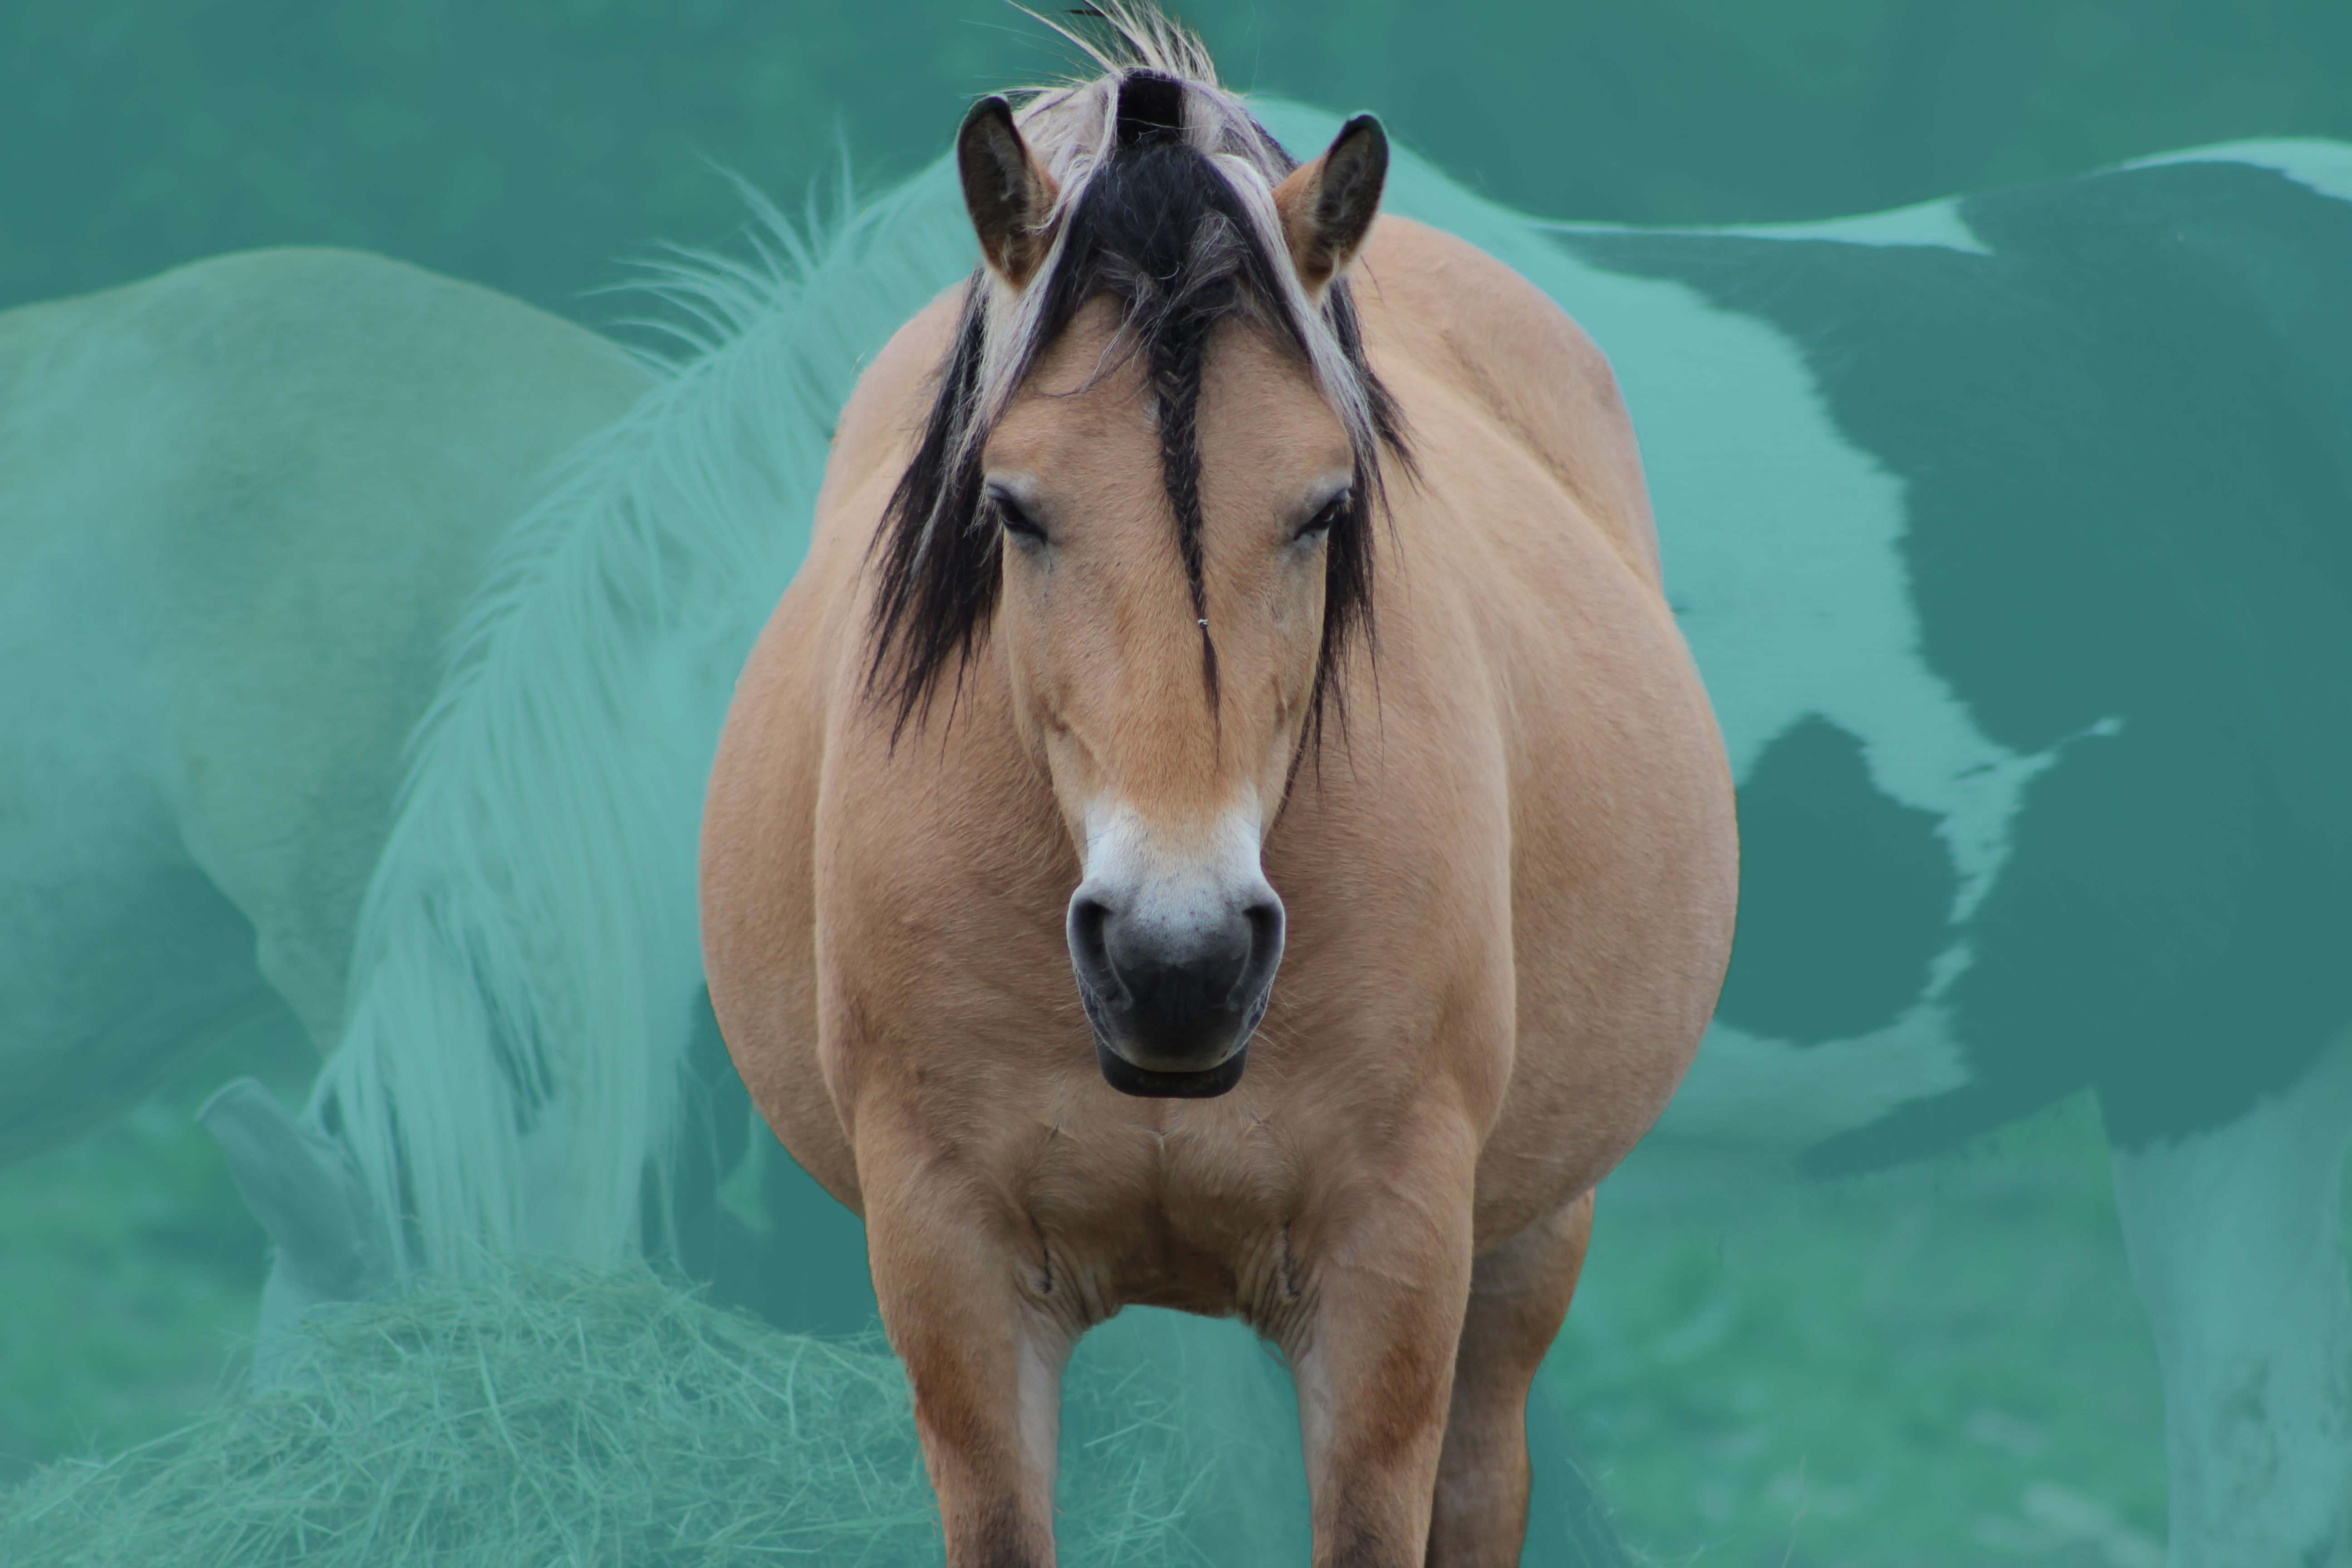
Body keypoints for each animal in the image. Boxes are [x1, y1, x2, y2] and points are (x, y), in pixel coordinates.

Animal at [697, 19, 1739, 1565]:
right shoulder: (951, 1271)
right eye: (1012, 508)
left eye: (1327, 507)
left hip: (1531, 1245)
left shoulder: (1390, 1272)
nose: (1173, 960)